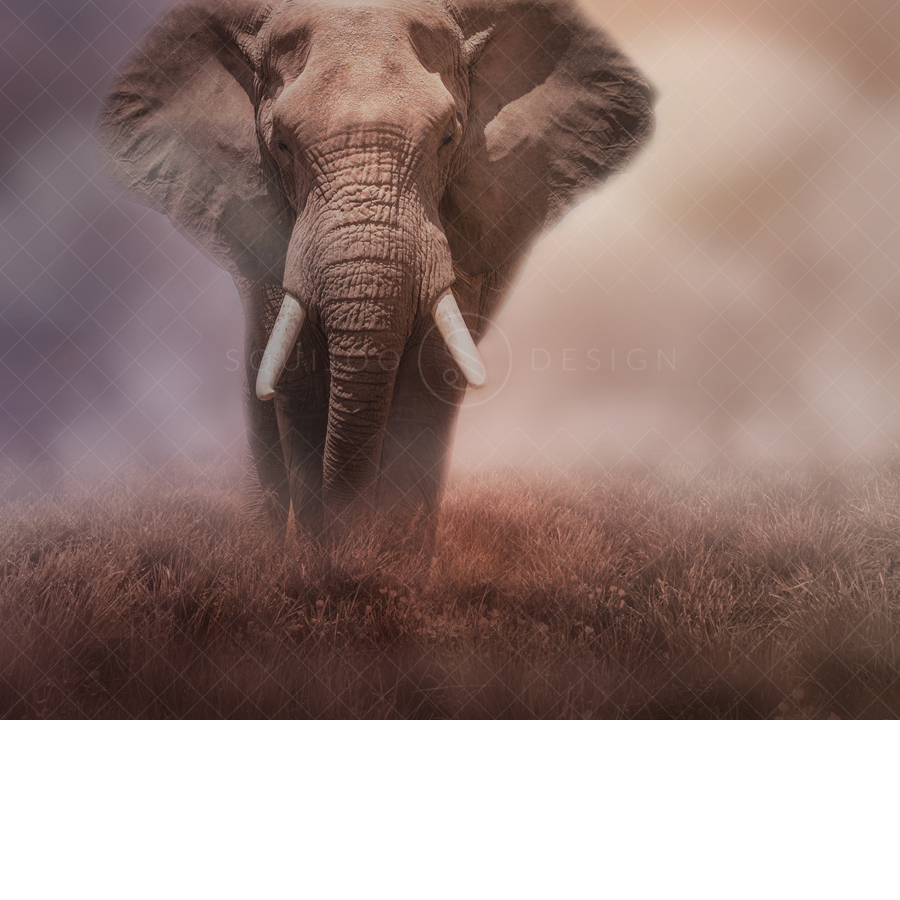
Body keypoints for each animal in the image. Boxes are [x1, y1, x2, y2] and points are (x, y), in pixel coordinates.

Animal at [96, 0, 653, 550]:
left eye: (448, 138)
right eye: (281, 145)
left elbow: (428, 372)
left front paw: (384, 561)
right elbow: (300, 372)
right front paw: (327, 562)